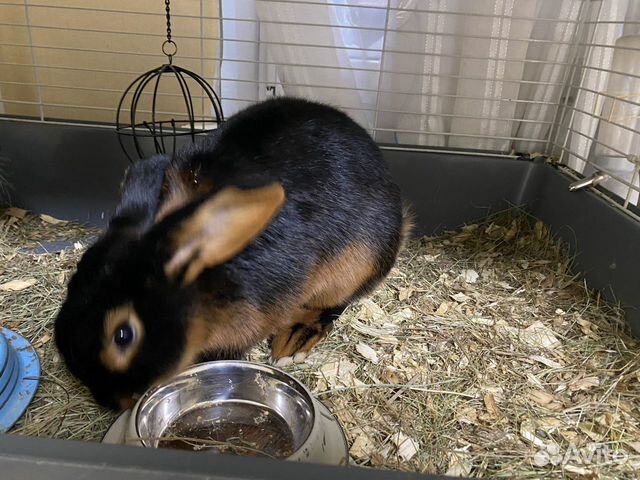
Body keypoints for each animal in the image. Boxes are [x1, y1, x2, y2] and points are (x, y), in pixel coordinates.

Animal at [54, 96, 412, 410]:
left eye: (123, 335)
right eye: (71, 286)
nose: (110, 403)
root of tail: (400, 218)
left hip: (357, 263)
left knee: (333, 305)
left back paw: (294, 339)